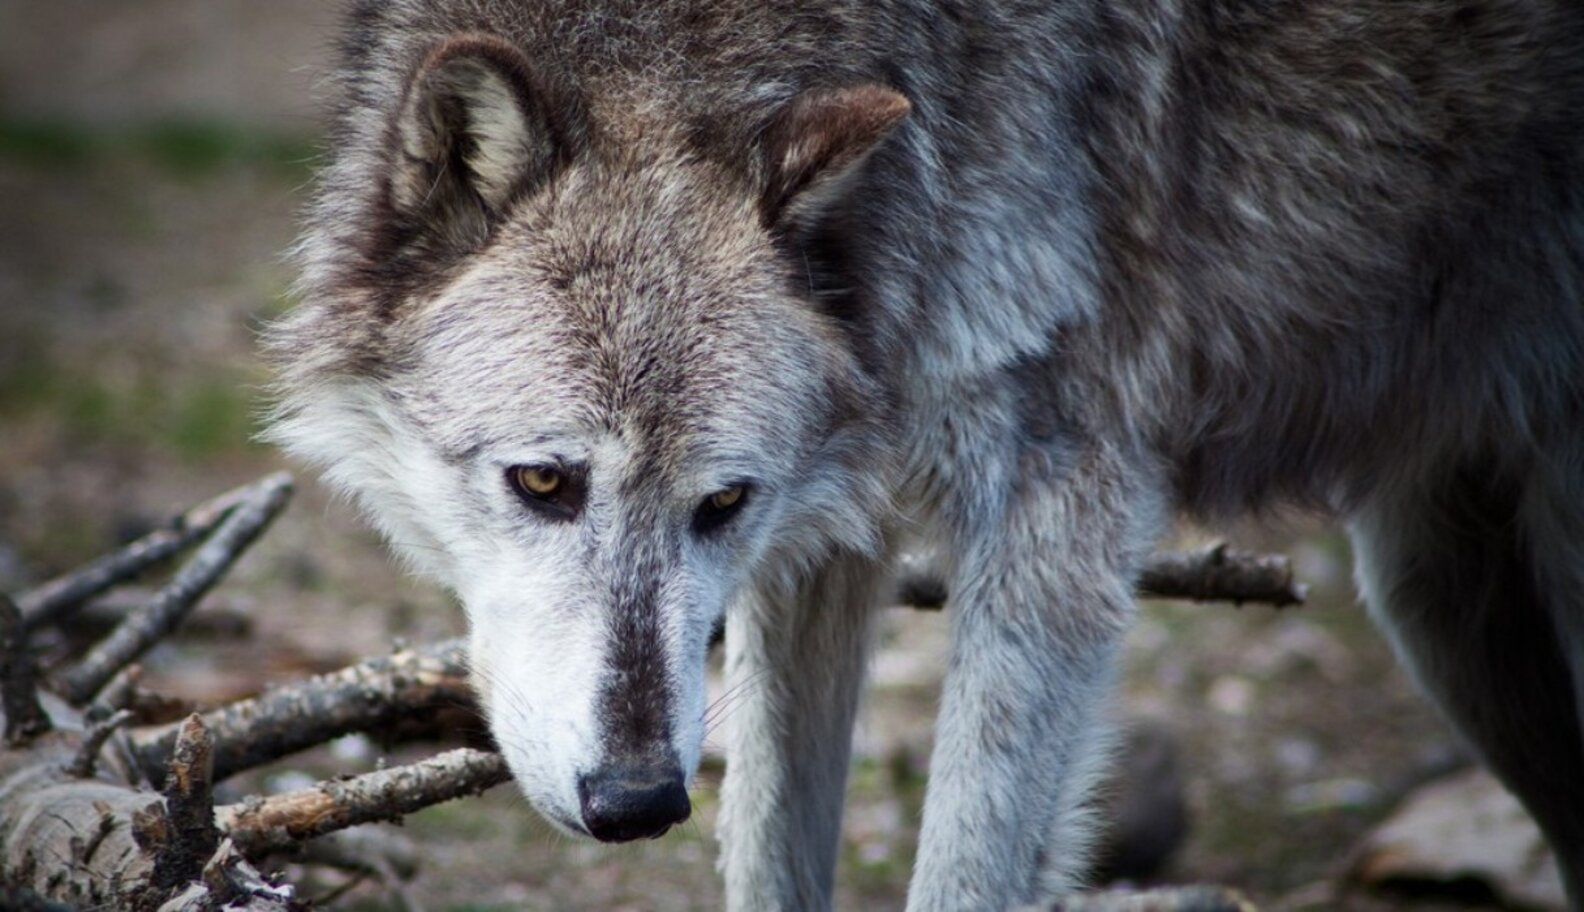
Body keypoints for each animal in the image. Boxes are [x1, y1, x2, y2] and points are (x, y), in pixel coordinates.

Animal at [266, 0, 1584, 908]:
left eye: (722, 502)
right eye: (543, 482)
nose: (639, 803)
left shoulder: (1060, 517)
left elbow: (965, 869)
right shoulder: (820, 553)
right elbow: (770, 855)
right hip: (1441, 606)